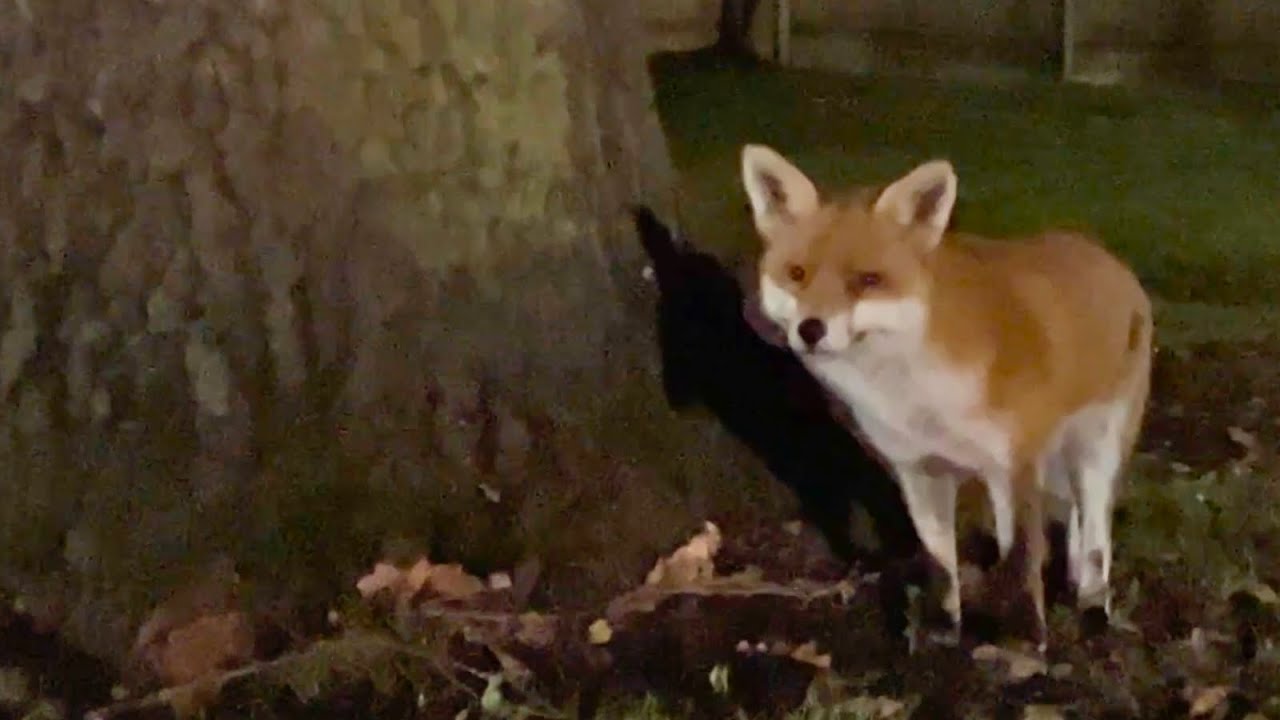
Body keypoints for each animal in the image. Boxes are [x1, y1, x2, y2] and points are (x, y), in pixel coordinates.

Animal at [739, 144, 1153, 652]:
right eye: (797, 274)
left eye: (867, 280)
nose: (810, 330)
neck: (919, 394)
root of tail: (1105, 255)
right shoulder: (920, 469)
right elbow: (939, 564)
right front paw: (941, 635)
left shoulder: (1014, 468)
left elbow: (1020, 562)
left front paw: (1023, 641)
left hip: (1097, 451)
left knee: (1096, 536)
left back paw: (1094, 608)